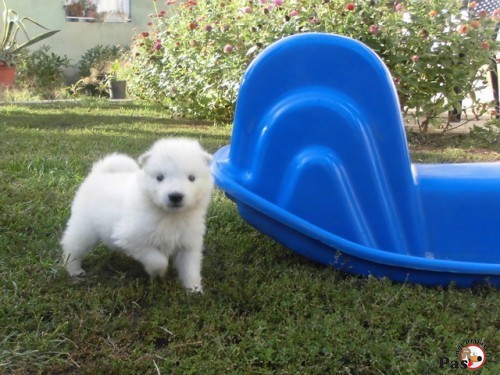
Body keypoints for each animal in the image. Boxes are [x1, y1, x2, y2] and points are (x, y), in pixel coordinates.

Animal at [61, 139, 213, 294]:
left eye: (192, 178)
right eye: (159, 177)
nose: (175, 196)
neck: (171, 216)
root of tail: (99, 173)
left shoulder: (188, 243)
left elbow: (190, 268)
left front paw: (194, 289)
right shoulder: (133, 238)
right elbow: (157, 259)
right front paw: (157, 272)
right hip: (85, 228)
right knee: (72, 247)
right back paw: (74, 270)